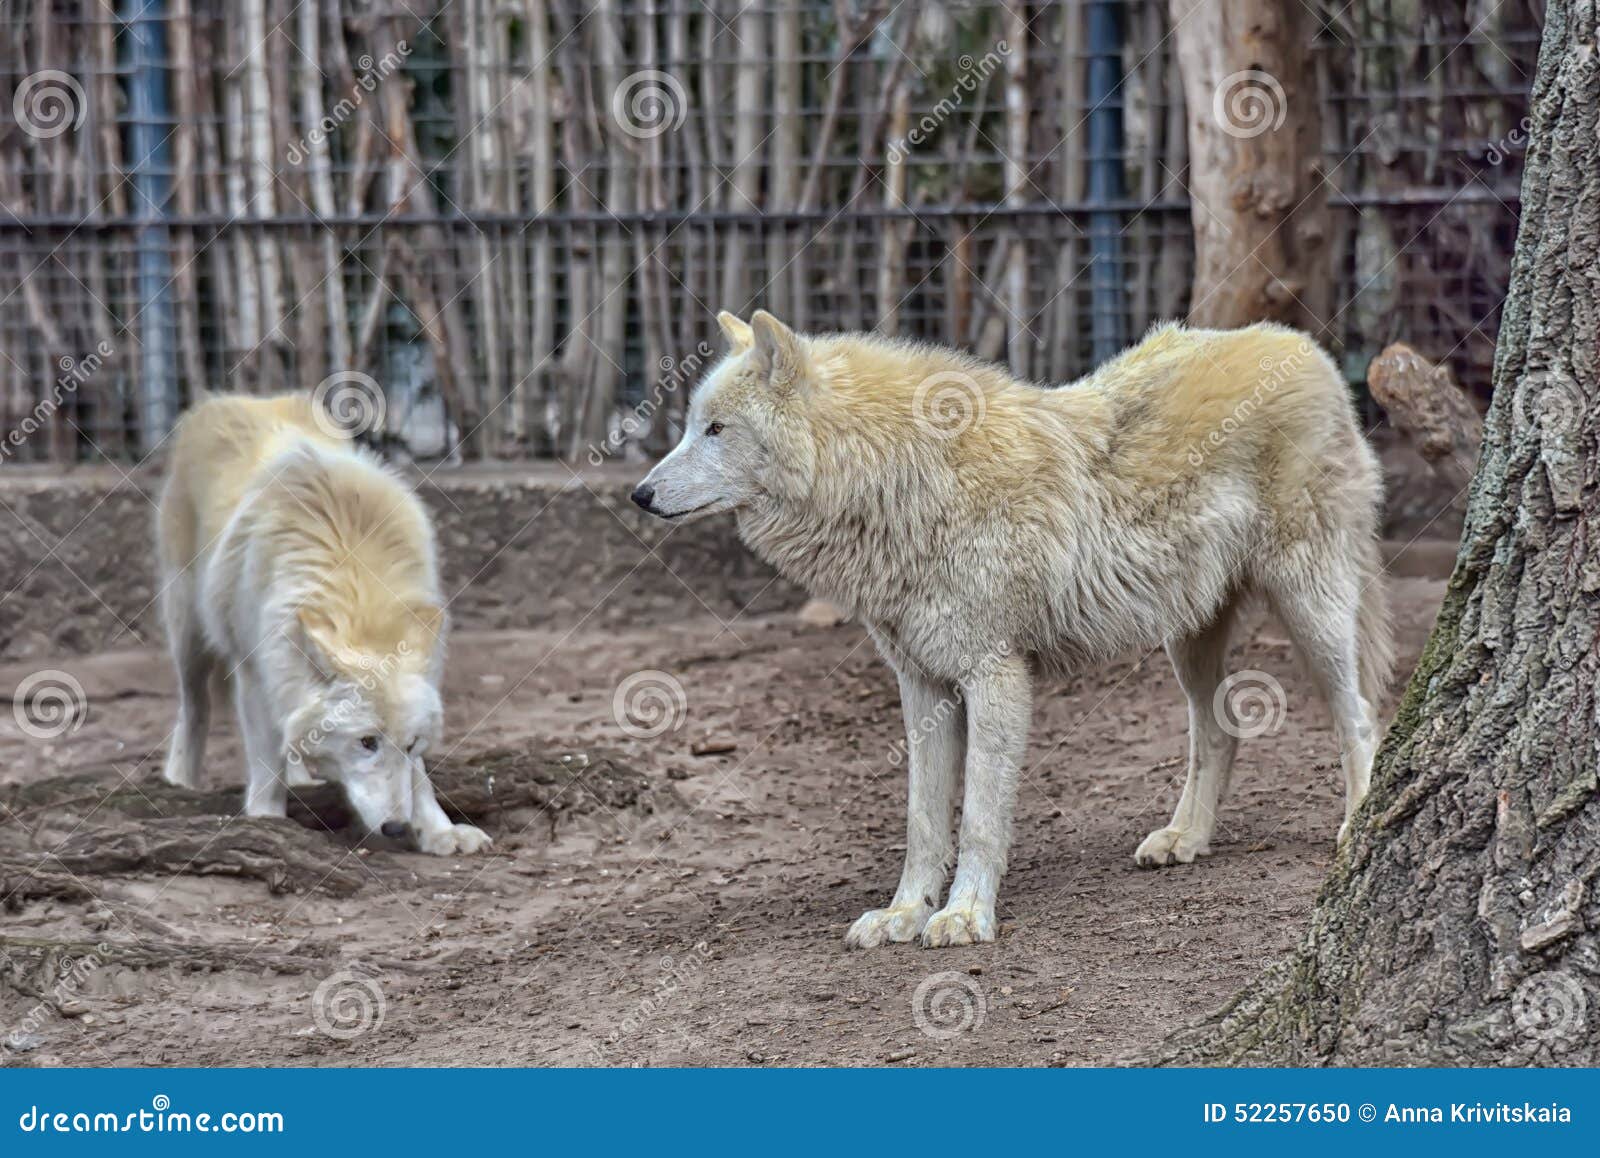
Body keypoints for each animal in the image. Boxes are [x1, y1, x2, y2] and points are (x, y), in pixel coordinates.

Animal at [156, 393, 490, 856]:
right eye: (366, 742)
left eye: (410, 743)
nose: (397, 828)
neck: (353, 574)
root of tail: (238, 400)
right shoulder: (255, 669)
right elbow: (265, 755)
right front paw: (266, 820)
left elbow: (418, 778)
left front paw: (440, 830)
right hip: (189, 634)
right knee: (194, 708)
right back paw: (181, 780)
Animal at [633, 311, 1392, 948]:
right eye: (688, 426)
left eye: (716, 430)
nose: (639, 494)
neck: (901, 479)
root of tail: (1299, 343)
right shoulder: (922, 685)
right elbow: (923, 822)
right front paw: (904, 914)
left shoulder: (994, 676)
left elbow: (978, 820)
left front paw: (965, 915)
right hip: (1189, 637)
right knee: (1219, 730)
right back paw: (1185, 837)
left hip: (1311, 609)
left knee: (1358, 713)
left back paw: (1359, 822)